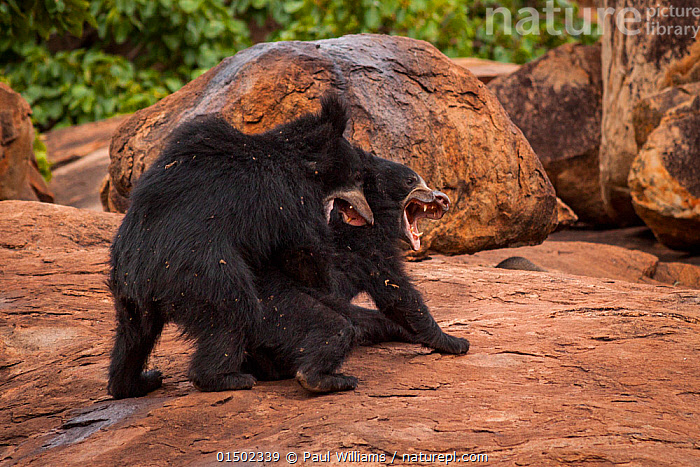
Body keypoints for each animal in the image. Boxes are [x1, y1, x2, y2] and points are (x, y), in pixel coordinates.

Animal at [107, 94, 374, 399]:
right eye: (357, 176)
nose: (369, 216)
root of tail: (142, 276)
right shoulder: (291, 199)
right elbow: (305, 253)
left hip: (127, 292)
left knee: (134, 334)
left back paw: (135, 382)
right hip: (198, 272)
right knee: (232, 312)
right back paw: (230, 377)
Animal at [243, 155, 470, 393]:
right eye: (410, 181)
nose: (443, 198)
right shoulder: (370, 249)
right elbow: (399, 294)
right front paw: (455, 342)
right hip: (276, 307)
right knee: (334, 326)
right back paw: (321, 377)